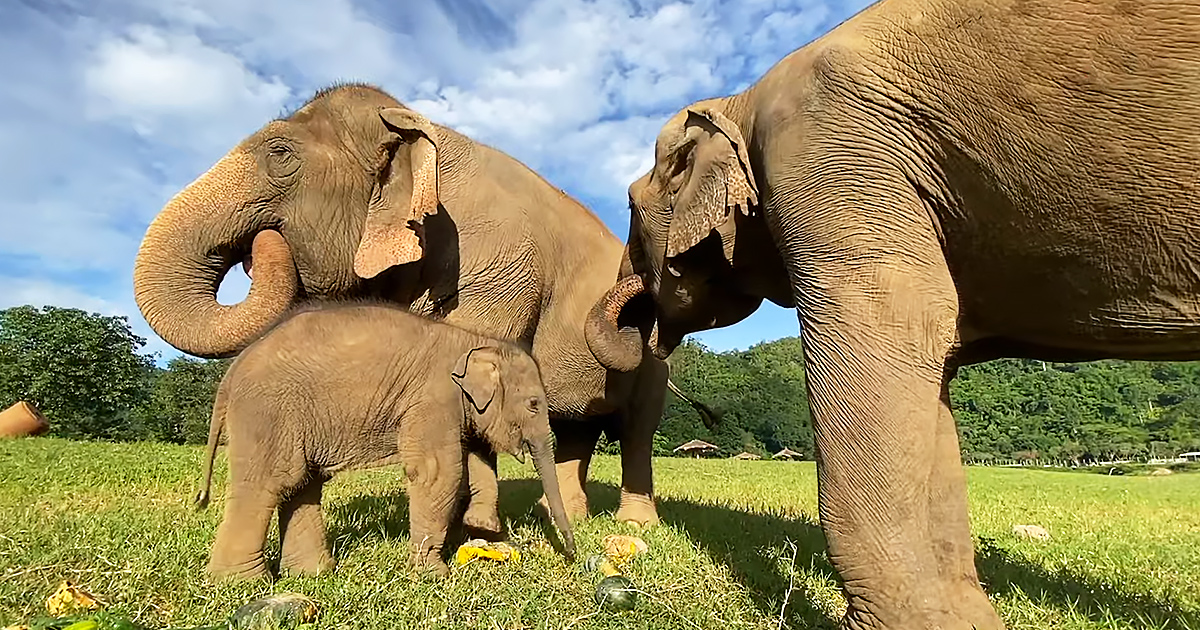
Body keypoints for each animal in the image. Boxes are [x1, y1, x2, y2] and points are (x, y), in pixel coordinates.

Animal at [133, 83, 716, 532]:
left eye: (280, 154)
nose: (259, 247)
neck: (422, 128)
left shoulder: (499, 264)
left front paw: (470, 533)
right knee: (577, 428)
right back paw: (566, 516)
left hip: (656, 360)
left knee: (637, 429)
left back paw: (635, 525)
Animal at [194, 300, 575, 580]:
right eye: (534, 404)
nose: (572, 554)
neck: (472, 341)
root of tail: (231, 373)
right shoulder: (432, 398)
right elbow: (438, 472)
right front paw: (433, 574)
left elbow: (474, 457)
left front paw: (483, 528)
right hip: (268, 413)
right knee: (270, 483)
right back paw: (241, 582)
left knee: (303, 484)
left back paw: (313, 573)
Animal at [583, 0, 1200, 628]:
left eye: (630, 211)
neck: (740, 100)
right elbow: (933, 385)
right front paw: (966, 620)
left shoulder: (828, 154)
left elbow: (890, 334)